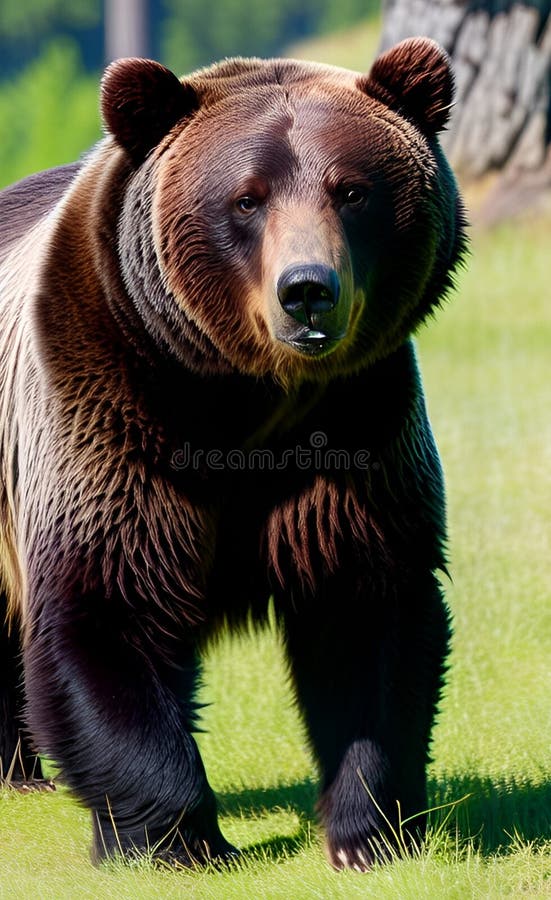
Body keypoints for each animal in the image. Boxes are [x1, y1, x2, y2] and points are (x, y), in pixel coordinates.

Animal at [0, 37, 467, 870]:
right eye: (246, 199)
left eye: (352, 190)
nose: (307, 291)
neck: (242, 400)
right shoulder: (107, 414)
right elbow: (106, 605)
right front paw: (176, 841)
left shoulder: (356, 428)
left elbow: (370, 609)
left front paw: (366, 833)